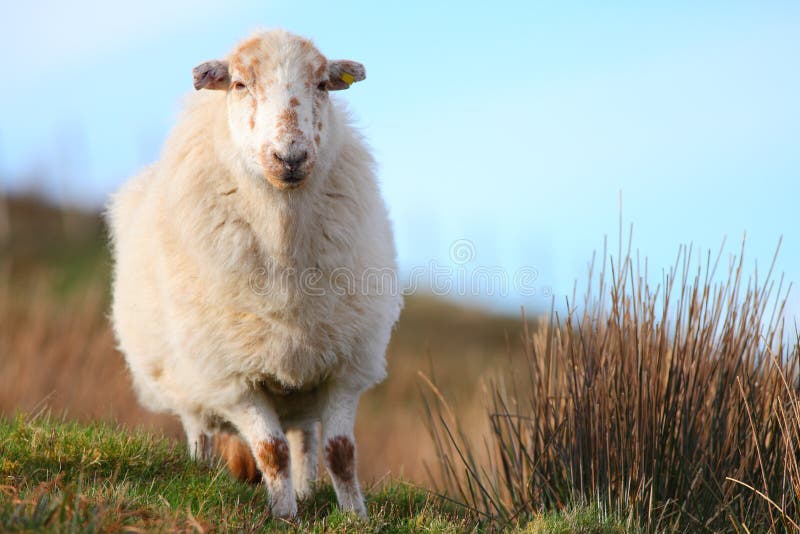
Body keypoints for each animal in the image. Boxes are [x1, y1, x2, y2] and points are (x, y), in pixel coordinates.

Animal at [107, 30, 402, 519]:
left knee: (305, 440)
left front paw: (354, 516)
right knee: (202, 431)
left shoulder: (344, 363)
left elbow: (340, 452)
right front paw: (284, 516)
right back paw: (204, 470)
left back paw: (307, 489)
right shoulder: (233, 376)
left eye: (322, 84)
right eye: (240, 84)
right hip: (191, 376)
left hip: (301, 378)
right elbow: (270, 451)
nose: (291, 156)